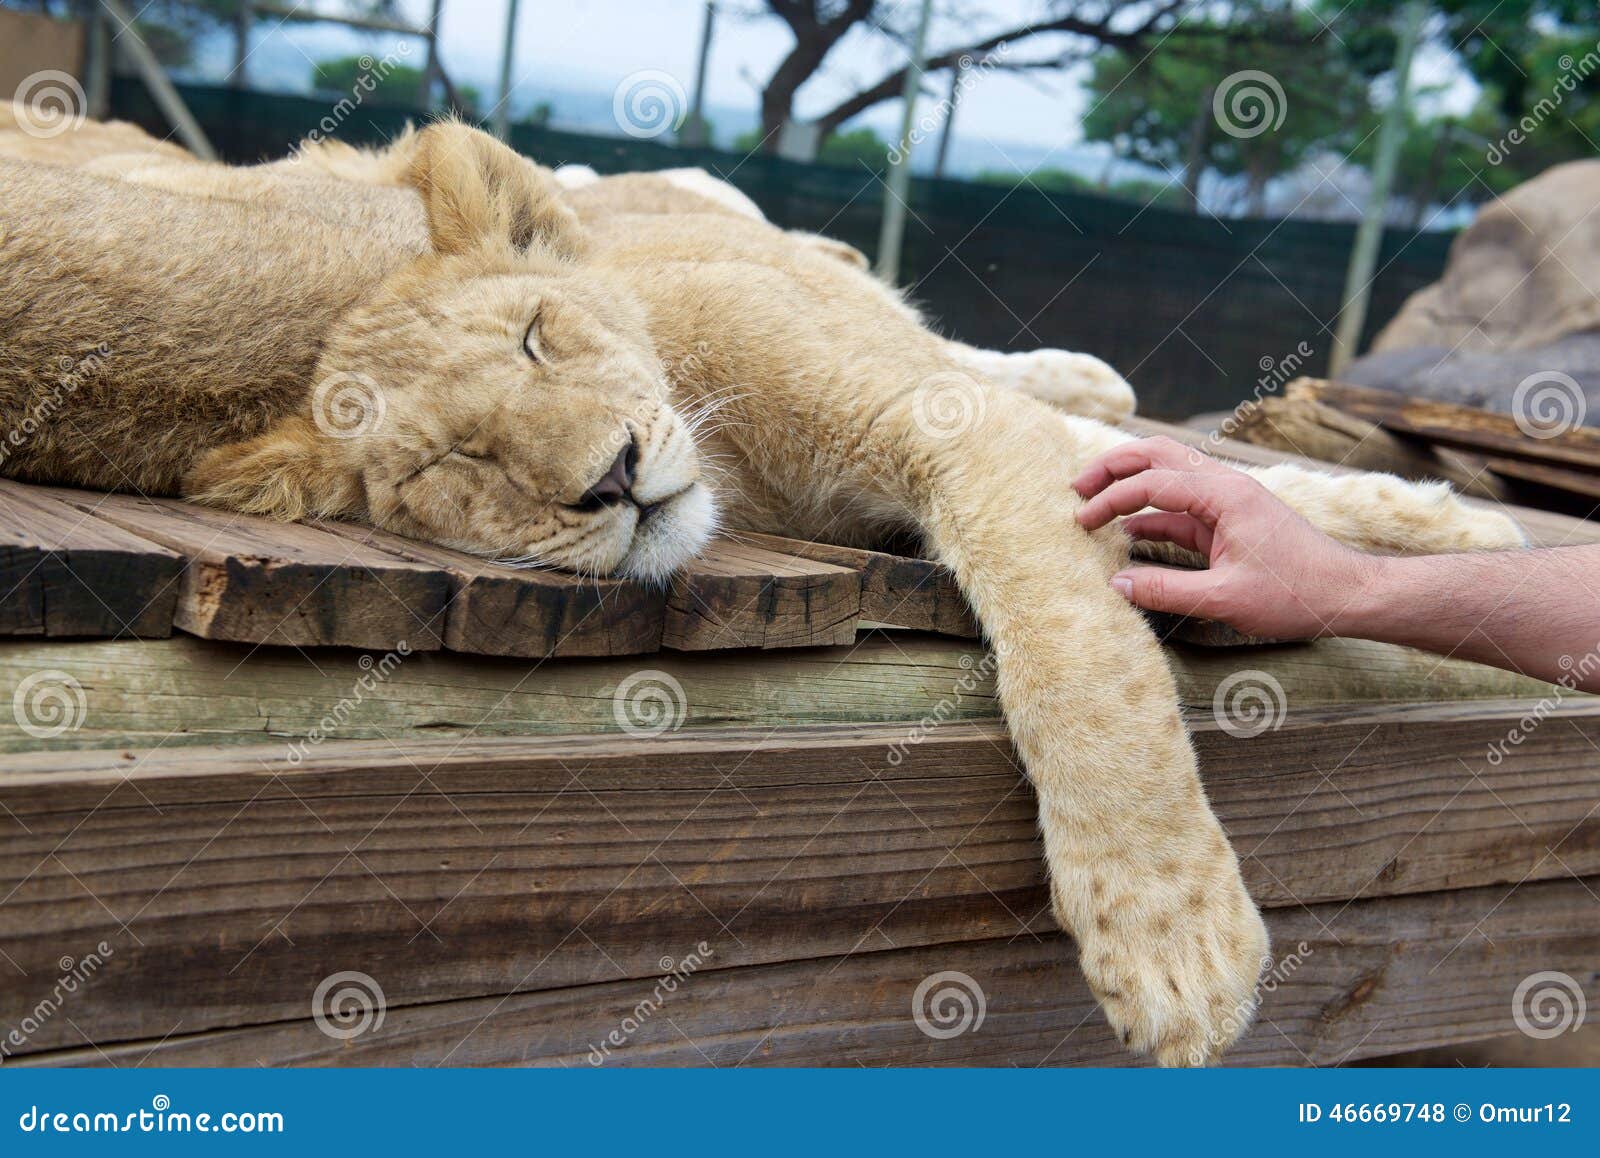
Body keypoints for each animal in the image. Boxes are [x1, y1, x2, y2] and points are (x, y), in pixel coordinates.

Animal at [0, 119, 1526, 1065]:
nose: (613, 479)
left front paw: (1171, 944)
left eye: (539, 337)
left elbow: (1083, 661)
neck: (727, 447)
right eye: (450, 459)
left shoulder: (943, 422)